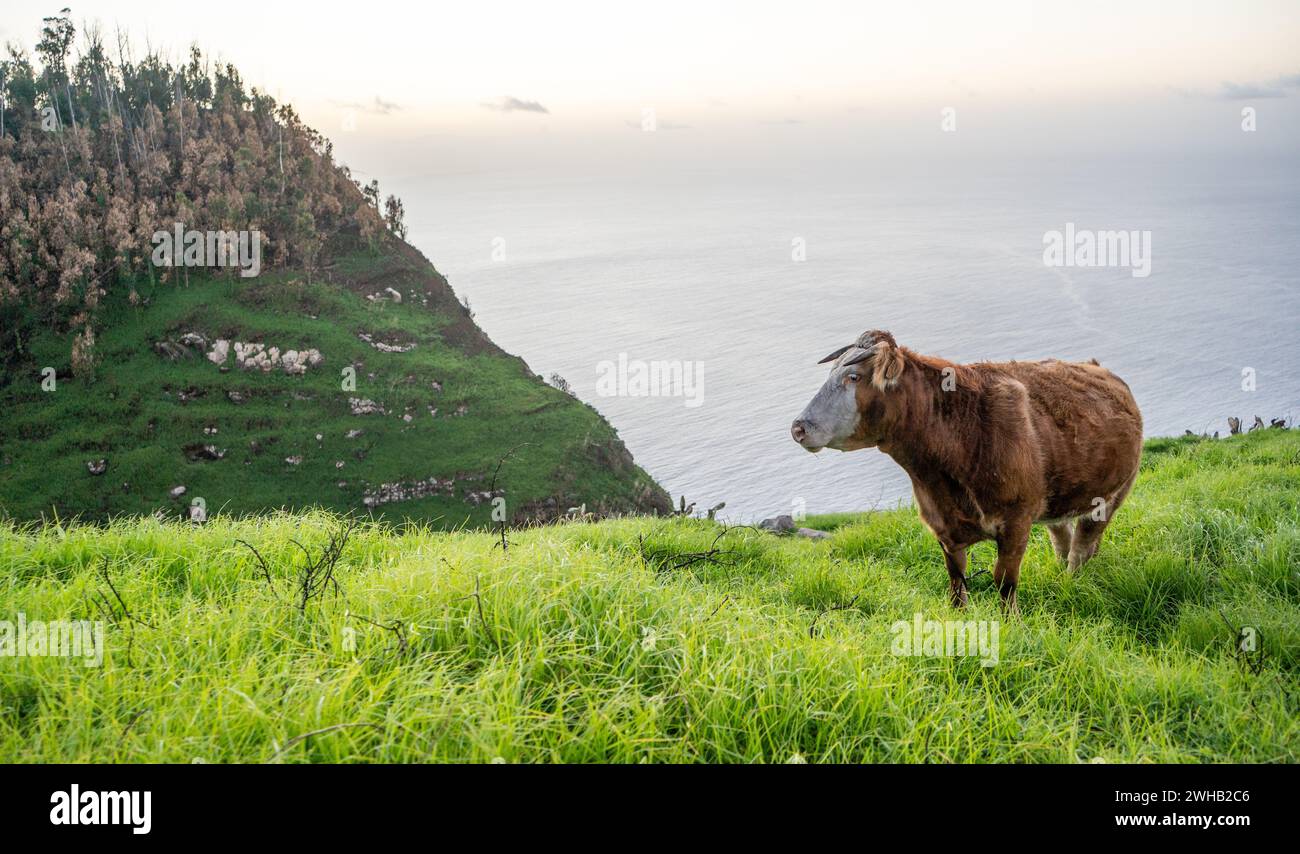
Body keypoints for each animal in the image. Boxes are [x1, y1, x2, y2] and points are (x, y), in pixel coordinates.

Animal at [791, 330, 1143, 613]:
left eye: (853, 377)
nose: (799, 428)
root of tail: (1098, 368)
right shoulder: (944, 527)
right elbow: (956, 584)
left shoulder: (1016, 521)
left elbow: (1005, 582)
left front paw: (1011, 624)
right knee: (1062, 538)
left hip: (1112, 495)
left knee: (1082, 546)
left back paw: (1072, 581)